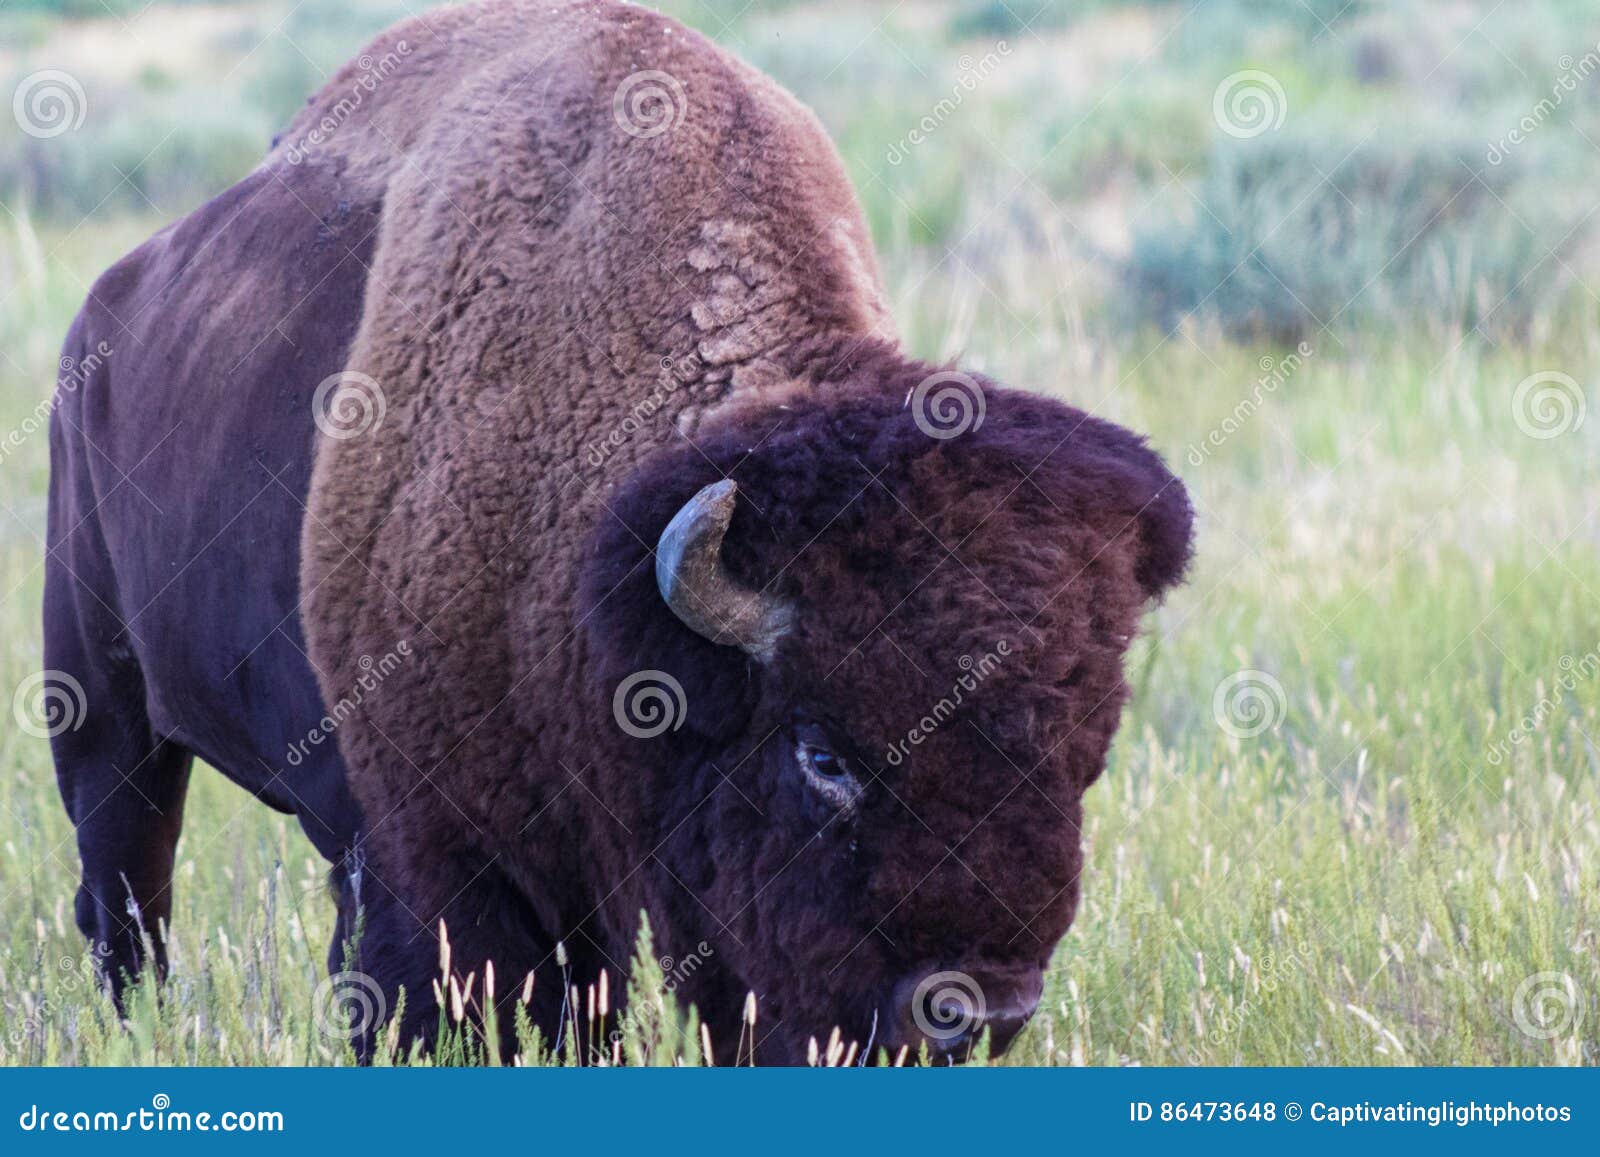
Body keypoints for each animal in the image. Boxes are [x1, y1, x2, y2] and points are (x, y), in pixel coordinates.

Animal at [46, 0, 1192, 1063]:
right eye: (822, 752)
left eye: (1086, 751)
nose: (980, 1006)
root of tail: (100, 318)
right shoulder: (439, 857)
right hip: (102, 708)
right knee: (124, 891)